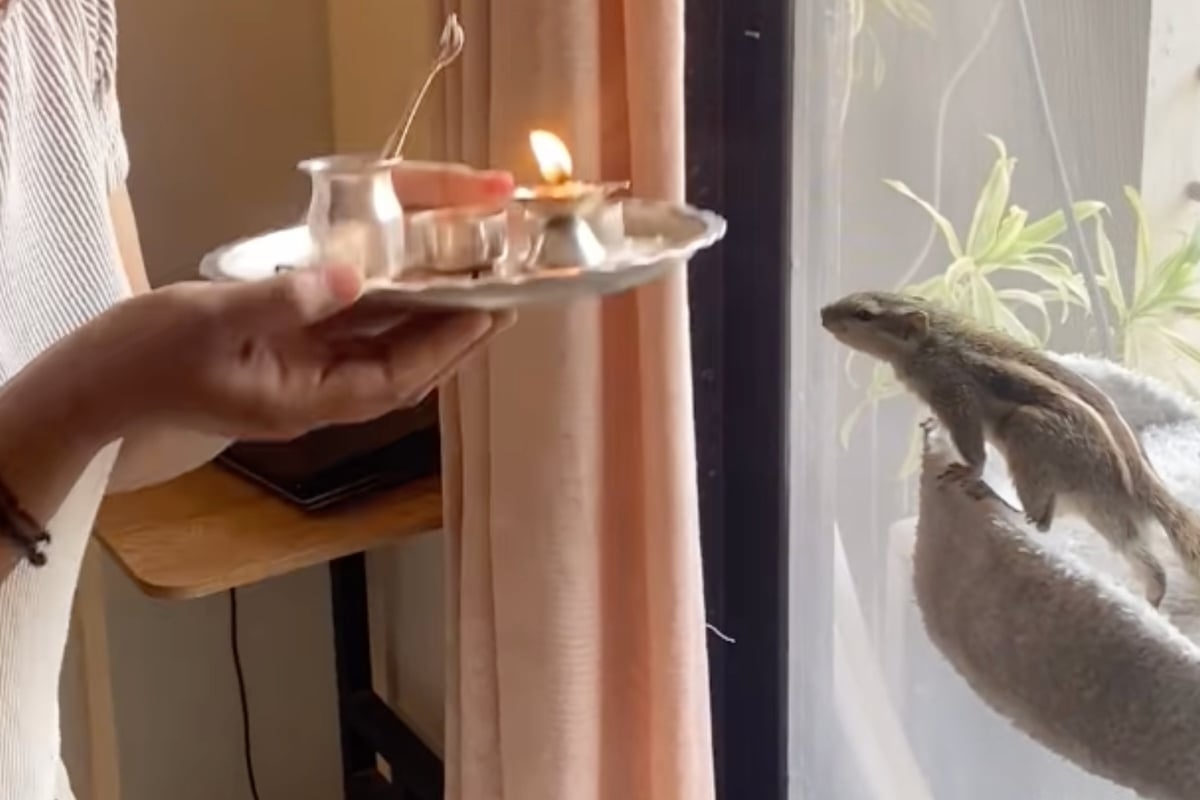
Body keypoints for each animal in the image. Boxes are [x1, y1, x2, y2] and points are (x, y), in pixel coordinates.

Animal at [820, 289, 1200, 608]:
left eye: (864, 314)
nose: (823, 313)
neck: (934, 339)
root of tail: (1137, 483)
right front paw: (931, 425)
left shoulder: (956, 395)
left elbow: (972, 443)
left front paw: (968, 470)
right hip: (1108, 517)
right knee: (1140, 556)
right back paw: (1151, 599)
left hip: (1027, 433)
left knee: (1043, 521)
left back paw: (1002, 503)